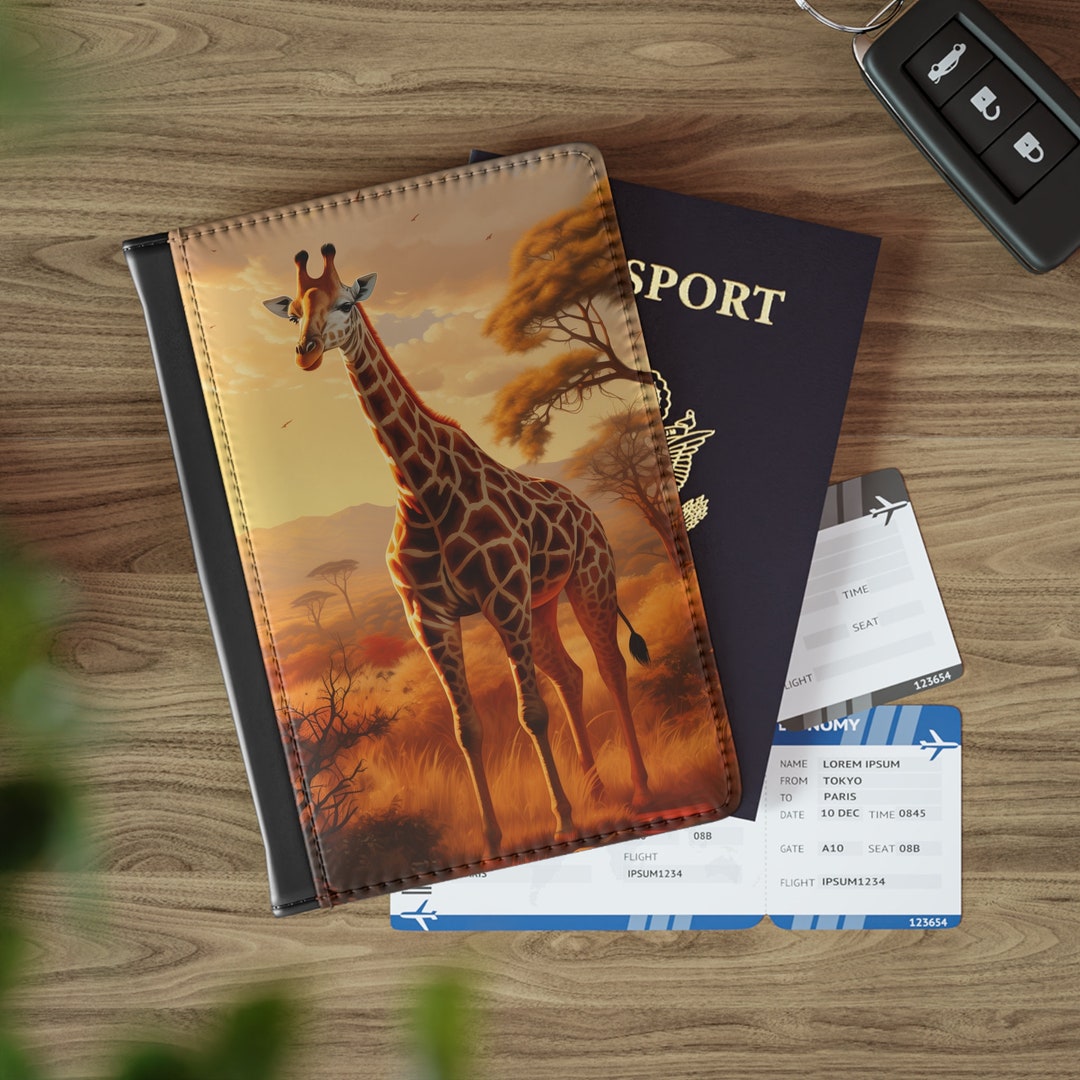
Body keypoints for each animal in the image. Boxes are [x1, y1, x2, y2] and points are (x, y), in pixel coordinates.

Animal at [264, 243, 652, 855]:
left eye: (345, 302)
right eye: (294, 312)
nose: (305, 353)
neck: (421, 487)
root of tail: (589, 510)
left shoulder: (502, 601)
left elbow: (530, 713)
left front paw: (562, 821)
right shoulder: (431, 617)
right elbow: (466, 728)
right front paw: (493, 838)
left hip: (589, 580)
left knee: (610, 665)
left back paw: (636, 789)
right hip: (542, 603)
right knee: (571, 674)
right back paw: (597, 789)